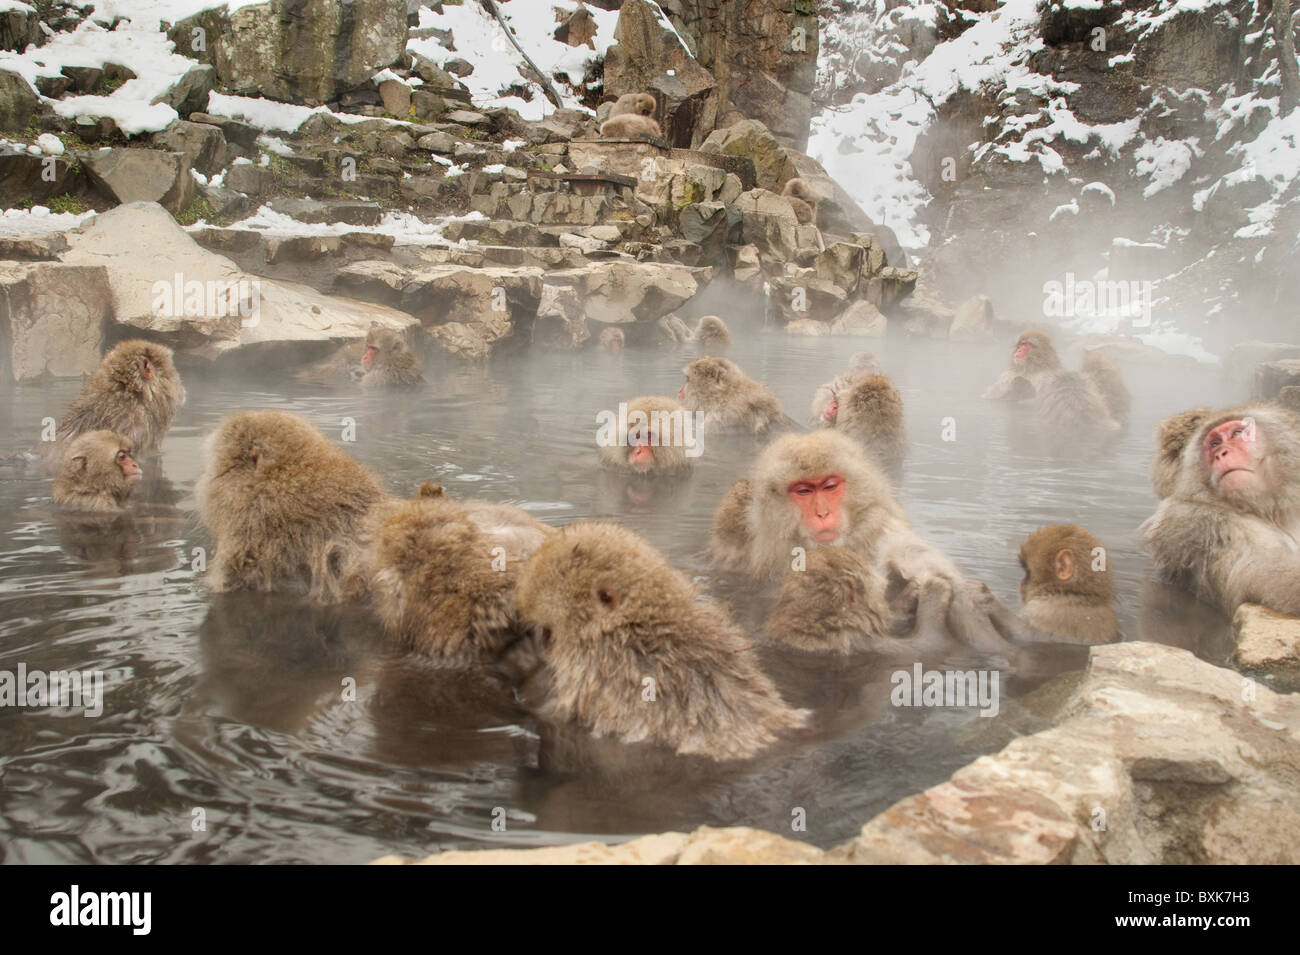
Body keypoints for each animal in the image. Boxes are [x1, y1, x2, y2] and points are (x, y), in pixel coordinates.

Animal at [1143, 403, 1300, 615]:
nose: (1221, 453)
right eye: (1215, 443)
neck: (1270, 511)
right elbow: (1265, 576)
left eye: (1237, 433)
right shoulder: (1199, 524)